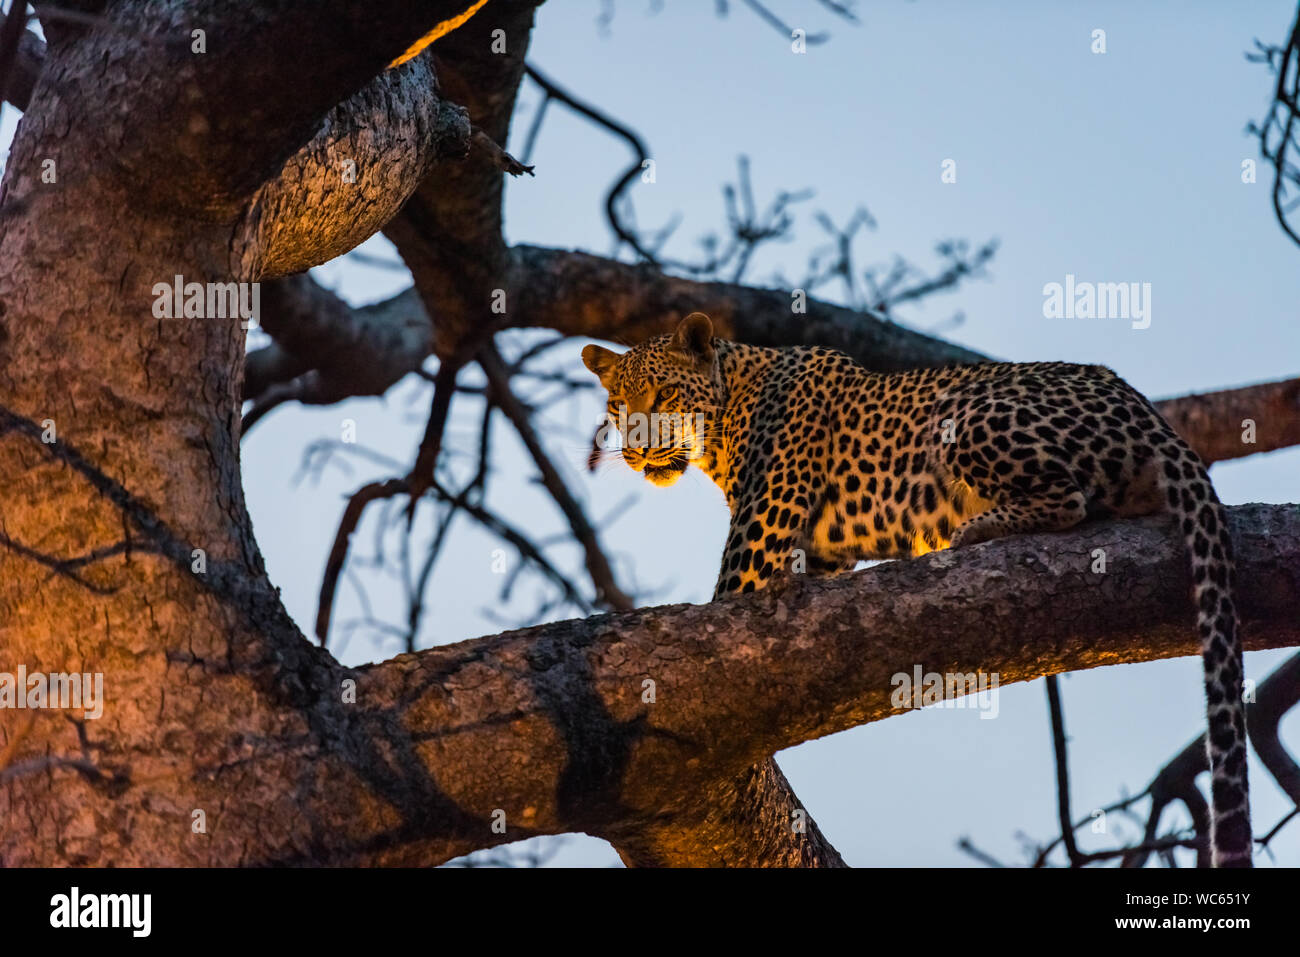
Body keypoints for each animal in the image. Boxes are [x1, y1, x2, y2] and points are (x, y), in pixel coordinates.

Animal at [582, 311, 1251, 868]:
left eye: (665, 395)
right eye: (617, 405)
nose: (637, 450)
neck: (730, 406)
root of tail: (1152, 416)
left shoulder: (759, 540)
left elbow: (723, 611)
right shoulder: (817, 556)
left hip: (970, 411)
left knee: (1068, 497)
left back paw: (973, 528)